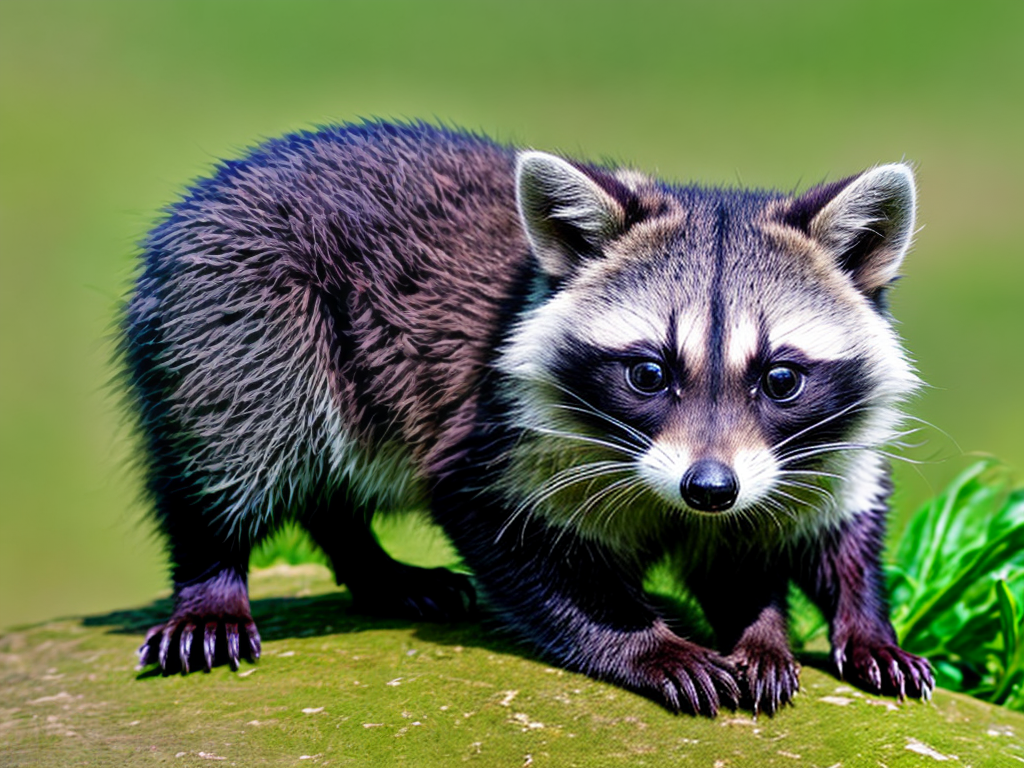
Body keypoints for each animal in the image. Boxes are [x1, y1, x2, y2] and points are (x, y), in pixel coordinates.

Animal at [126, 121, 933, 715]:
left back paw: (367, 562)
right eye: (648, 374)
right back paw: (211, 575)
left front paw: (828, 627)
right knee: (241, 442)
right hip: (241, 313)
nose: (709, 489)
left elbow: (819, 536)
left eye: (781, 378)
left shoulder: (811, 450)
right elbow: (511, 534)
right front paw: (650, 644)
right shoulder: (498, 426)